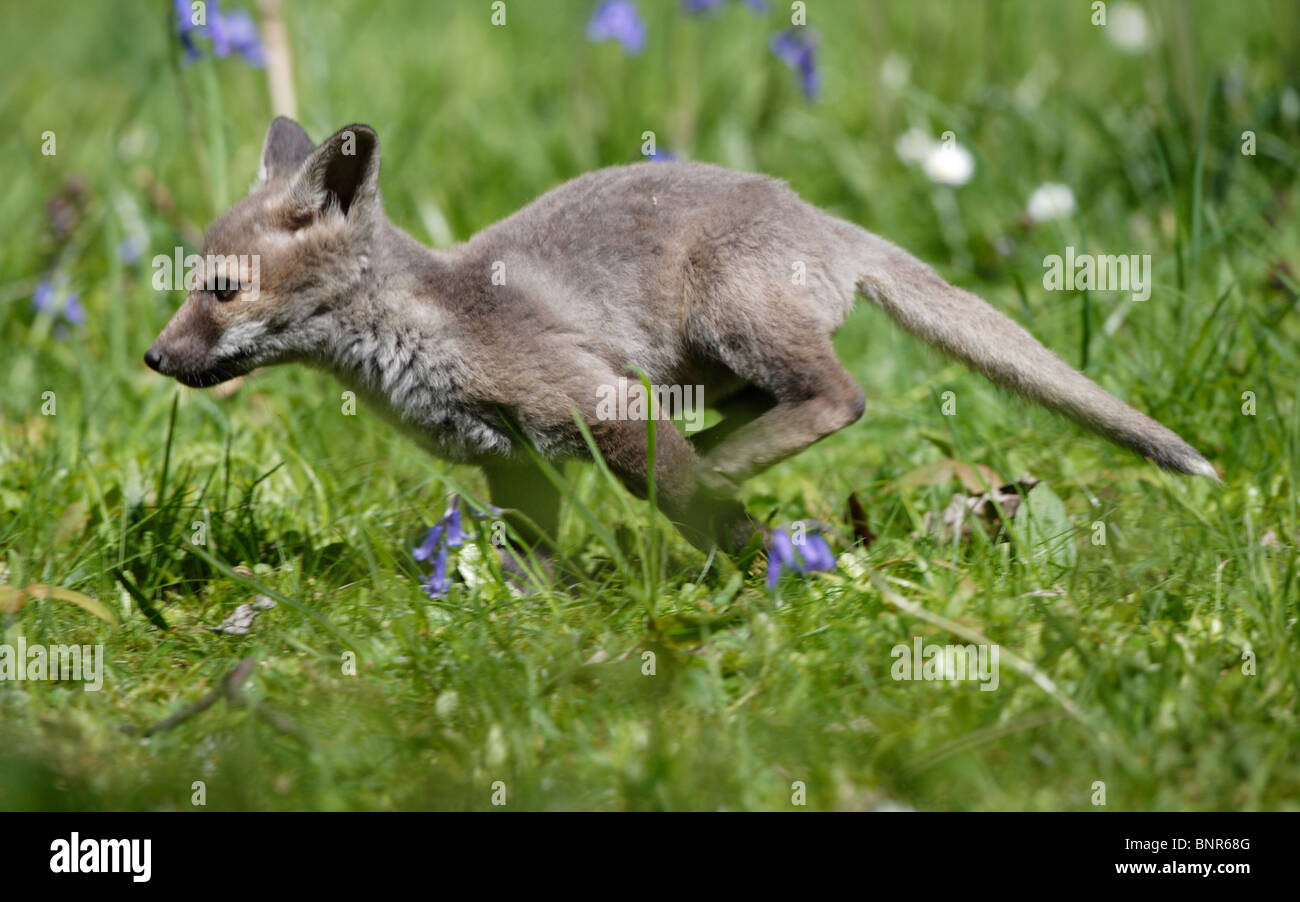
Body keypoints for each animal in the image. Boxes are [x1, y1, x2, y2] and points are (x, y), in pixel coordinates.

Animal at [145, 117, 1217, 575]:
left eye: (222, 290)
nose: (156, 359)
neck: (425, 331)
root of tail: (823, 219)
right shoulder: (514, 463)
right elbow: (534, 551)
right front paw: (530, 609)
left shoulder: (593, 405)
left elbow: (688, 503)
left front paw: (754, 565)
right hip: (710, 367)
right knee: (761, 413)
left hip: (726, 319)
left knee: (837, 398)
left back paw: (726, 485)